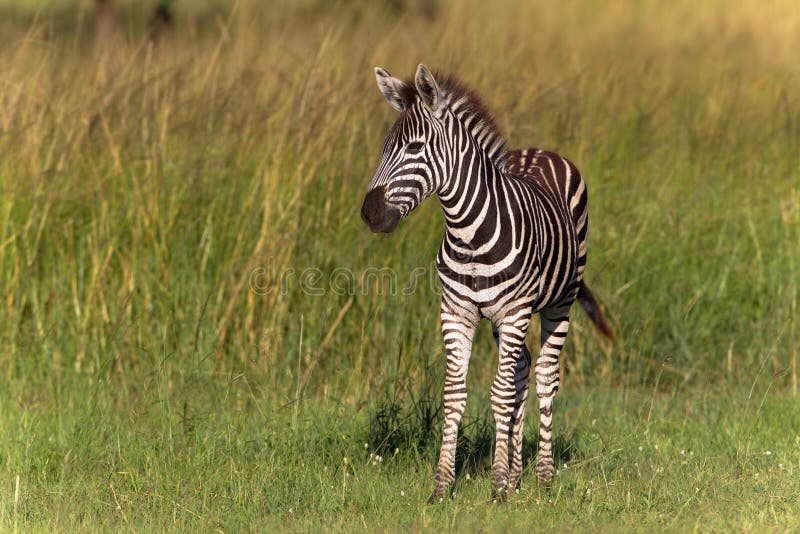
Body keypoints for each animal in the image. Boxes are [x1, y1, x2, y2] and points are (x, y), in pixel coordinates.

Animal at [361, 64, 614, 502]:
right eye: (385, 147)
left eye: (414, 148)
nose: (369, 214)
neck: (469, 234)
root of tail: (542, 150)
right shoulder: (456, 312)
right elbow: (456, 394)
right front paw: (445, 485)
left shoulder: (513, 312)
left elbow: (499, 394)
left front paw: (496, 488)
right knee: (522, 371)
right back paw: (517, 472)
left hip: (557, 303)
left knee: (545, 376)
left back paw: (543, 477)